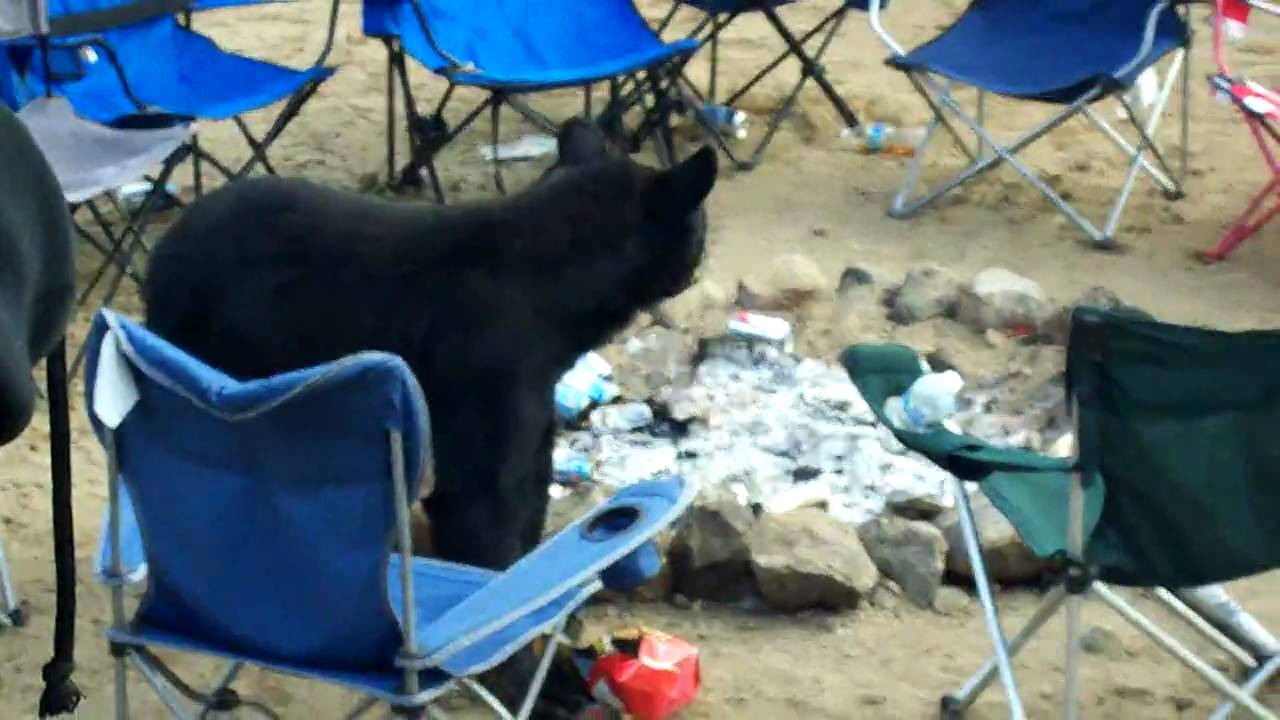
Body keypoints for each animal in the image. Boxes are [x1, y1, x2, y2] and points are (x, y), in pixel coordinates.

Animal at [143, 118, 717, 572]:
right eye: (699, 229)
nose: (697, 264)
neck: (556, 290)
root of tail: (162, 253)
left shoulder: (532, 388)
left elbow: (531, 478)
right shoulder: (489, 372)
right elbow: (483, 498)